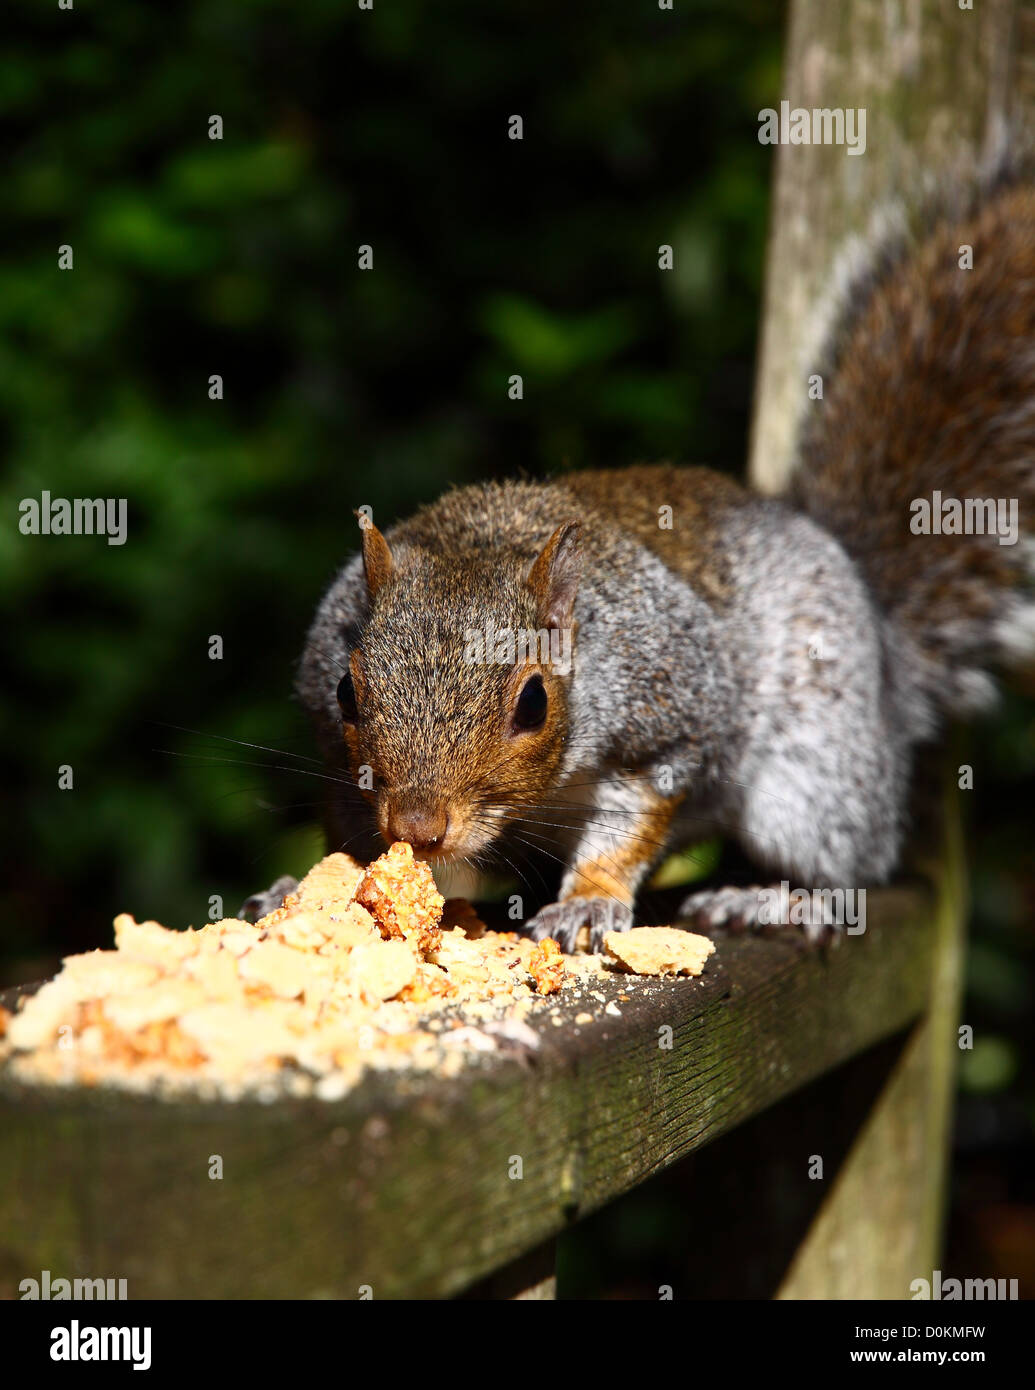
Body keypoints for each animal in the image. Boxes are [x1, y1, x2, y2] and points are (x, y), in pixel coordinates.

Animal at [252, 178, 1035, 951]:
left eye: (533, 703)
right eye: (346, 693)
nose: (419, 830)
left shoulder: (668, 722)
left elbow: (632, 825)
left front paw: (587, 904)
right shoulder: (337, 761)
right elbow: (350, 827)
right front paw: (310, 886)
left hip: (816, 774)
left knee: (847, 862)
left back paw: (783, 899)